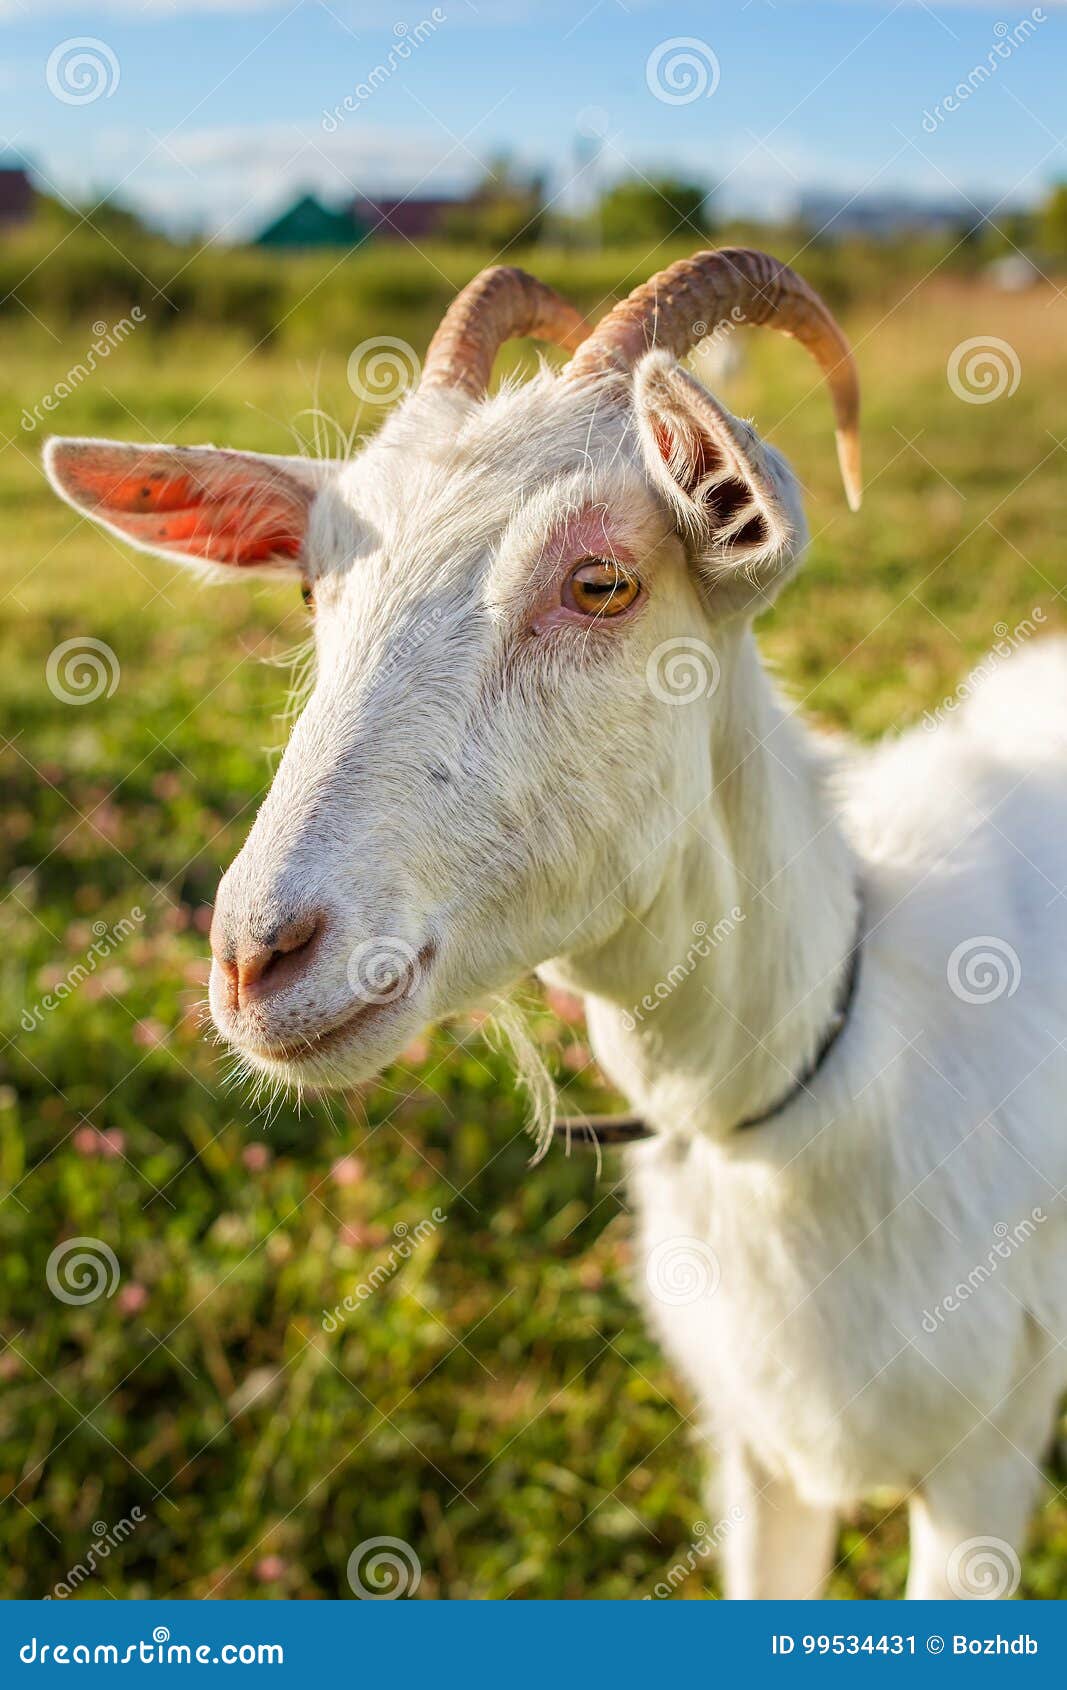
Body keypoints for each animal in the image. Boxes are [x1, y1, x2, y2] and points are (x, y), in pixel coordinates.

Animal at [45, 251, 1067, 1599]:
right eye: (314, 585)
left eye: (601, 582)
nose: (257, 956)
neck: (802, 1083)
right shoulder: (756, 1448)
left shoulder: (981, 1462)